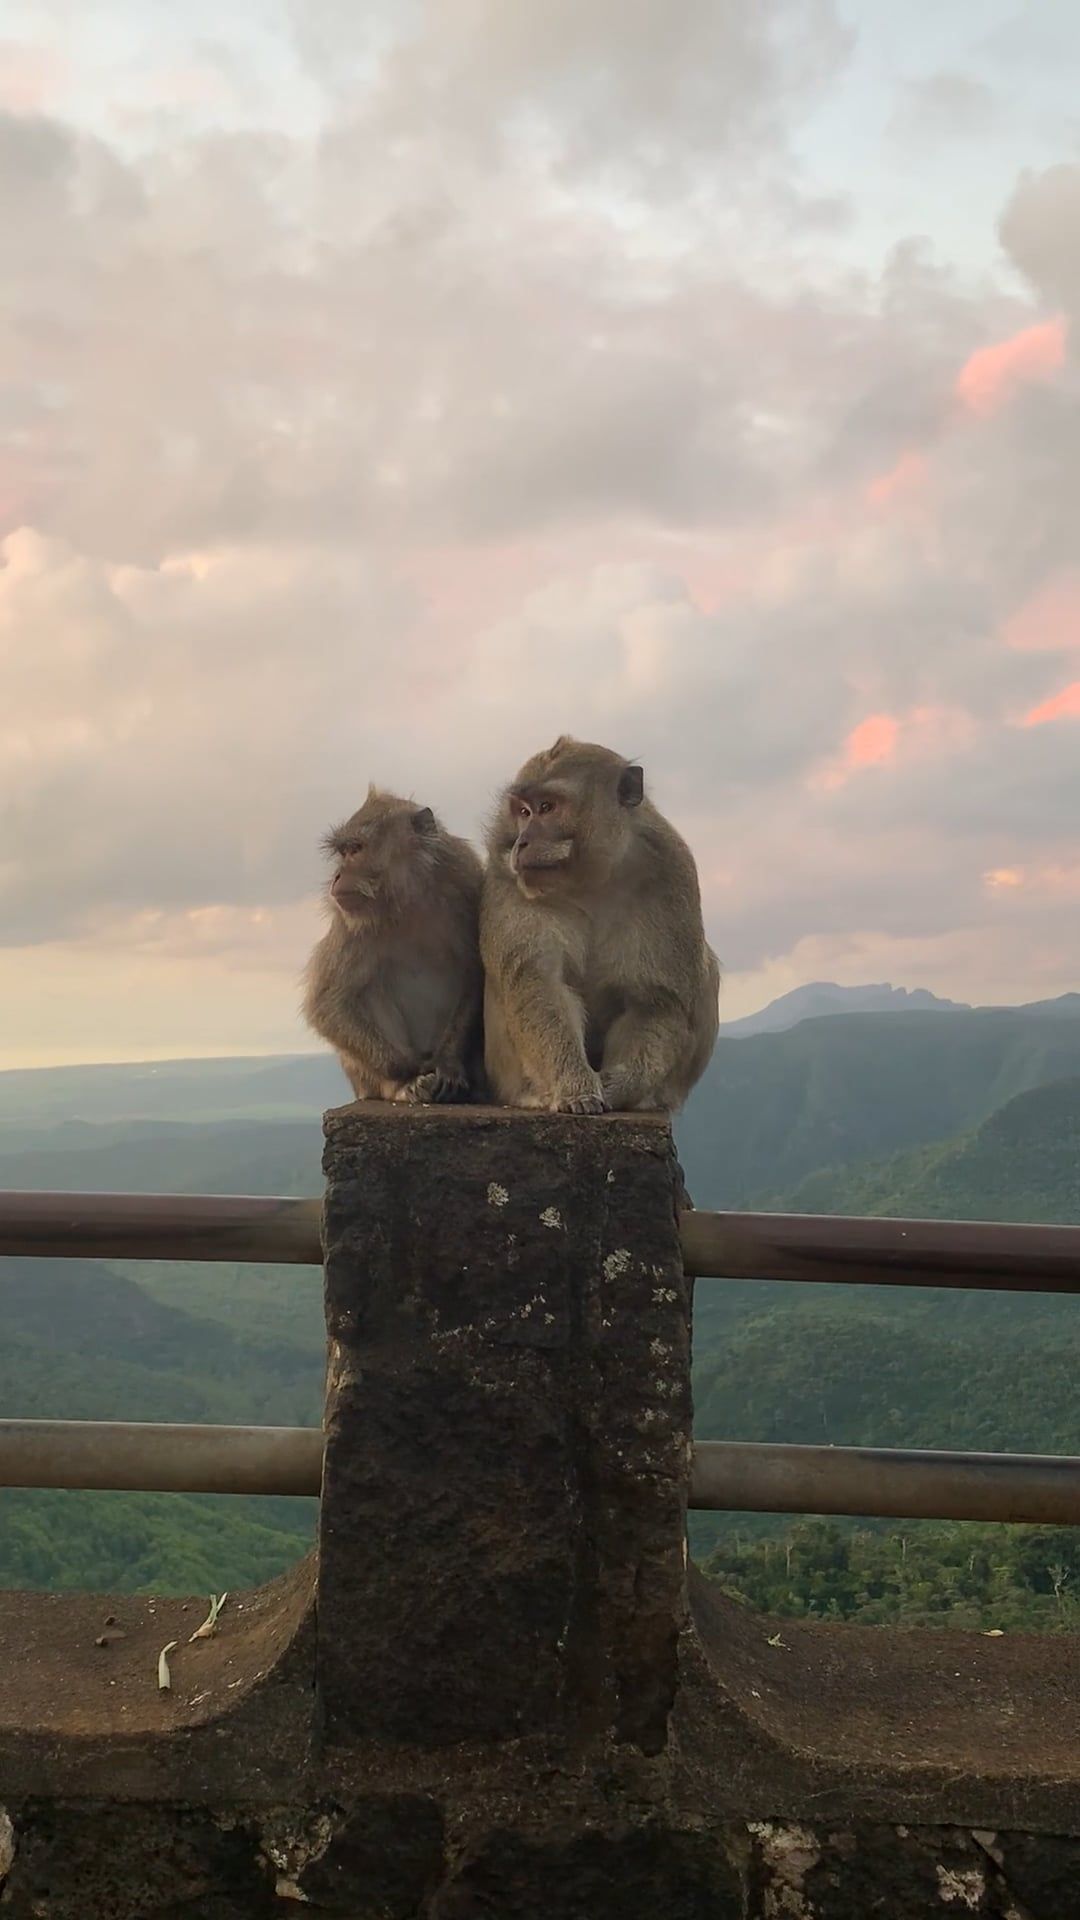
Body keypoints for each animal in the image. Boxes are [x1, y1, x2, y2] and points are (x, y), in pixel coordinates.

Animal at [304, 786, 484, 1104]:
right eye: (343, 852)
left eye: (356, 849)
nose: (337, 876)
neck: (409, 897)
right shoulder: (350, 924)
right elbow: (328, 1002)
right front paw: (410, 1073)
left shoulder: (467, 880)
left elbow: (474, 973)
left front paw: (449, 1065)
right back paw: (402, 1086)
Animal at [480, 738, 720, 1114]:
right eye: (523, 812)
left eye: (547, 807)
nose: (521, 843)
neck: (590, 880)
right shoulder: (508, 881)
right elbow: (540, 986)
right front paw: (574, 1086)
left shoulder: (672, 870)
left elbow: (654, 999)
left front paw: (620, 1085)